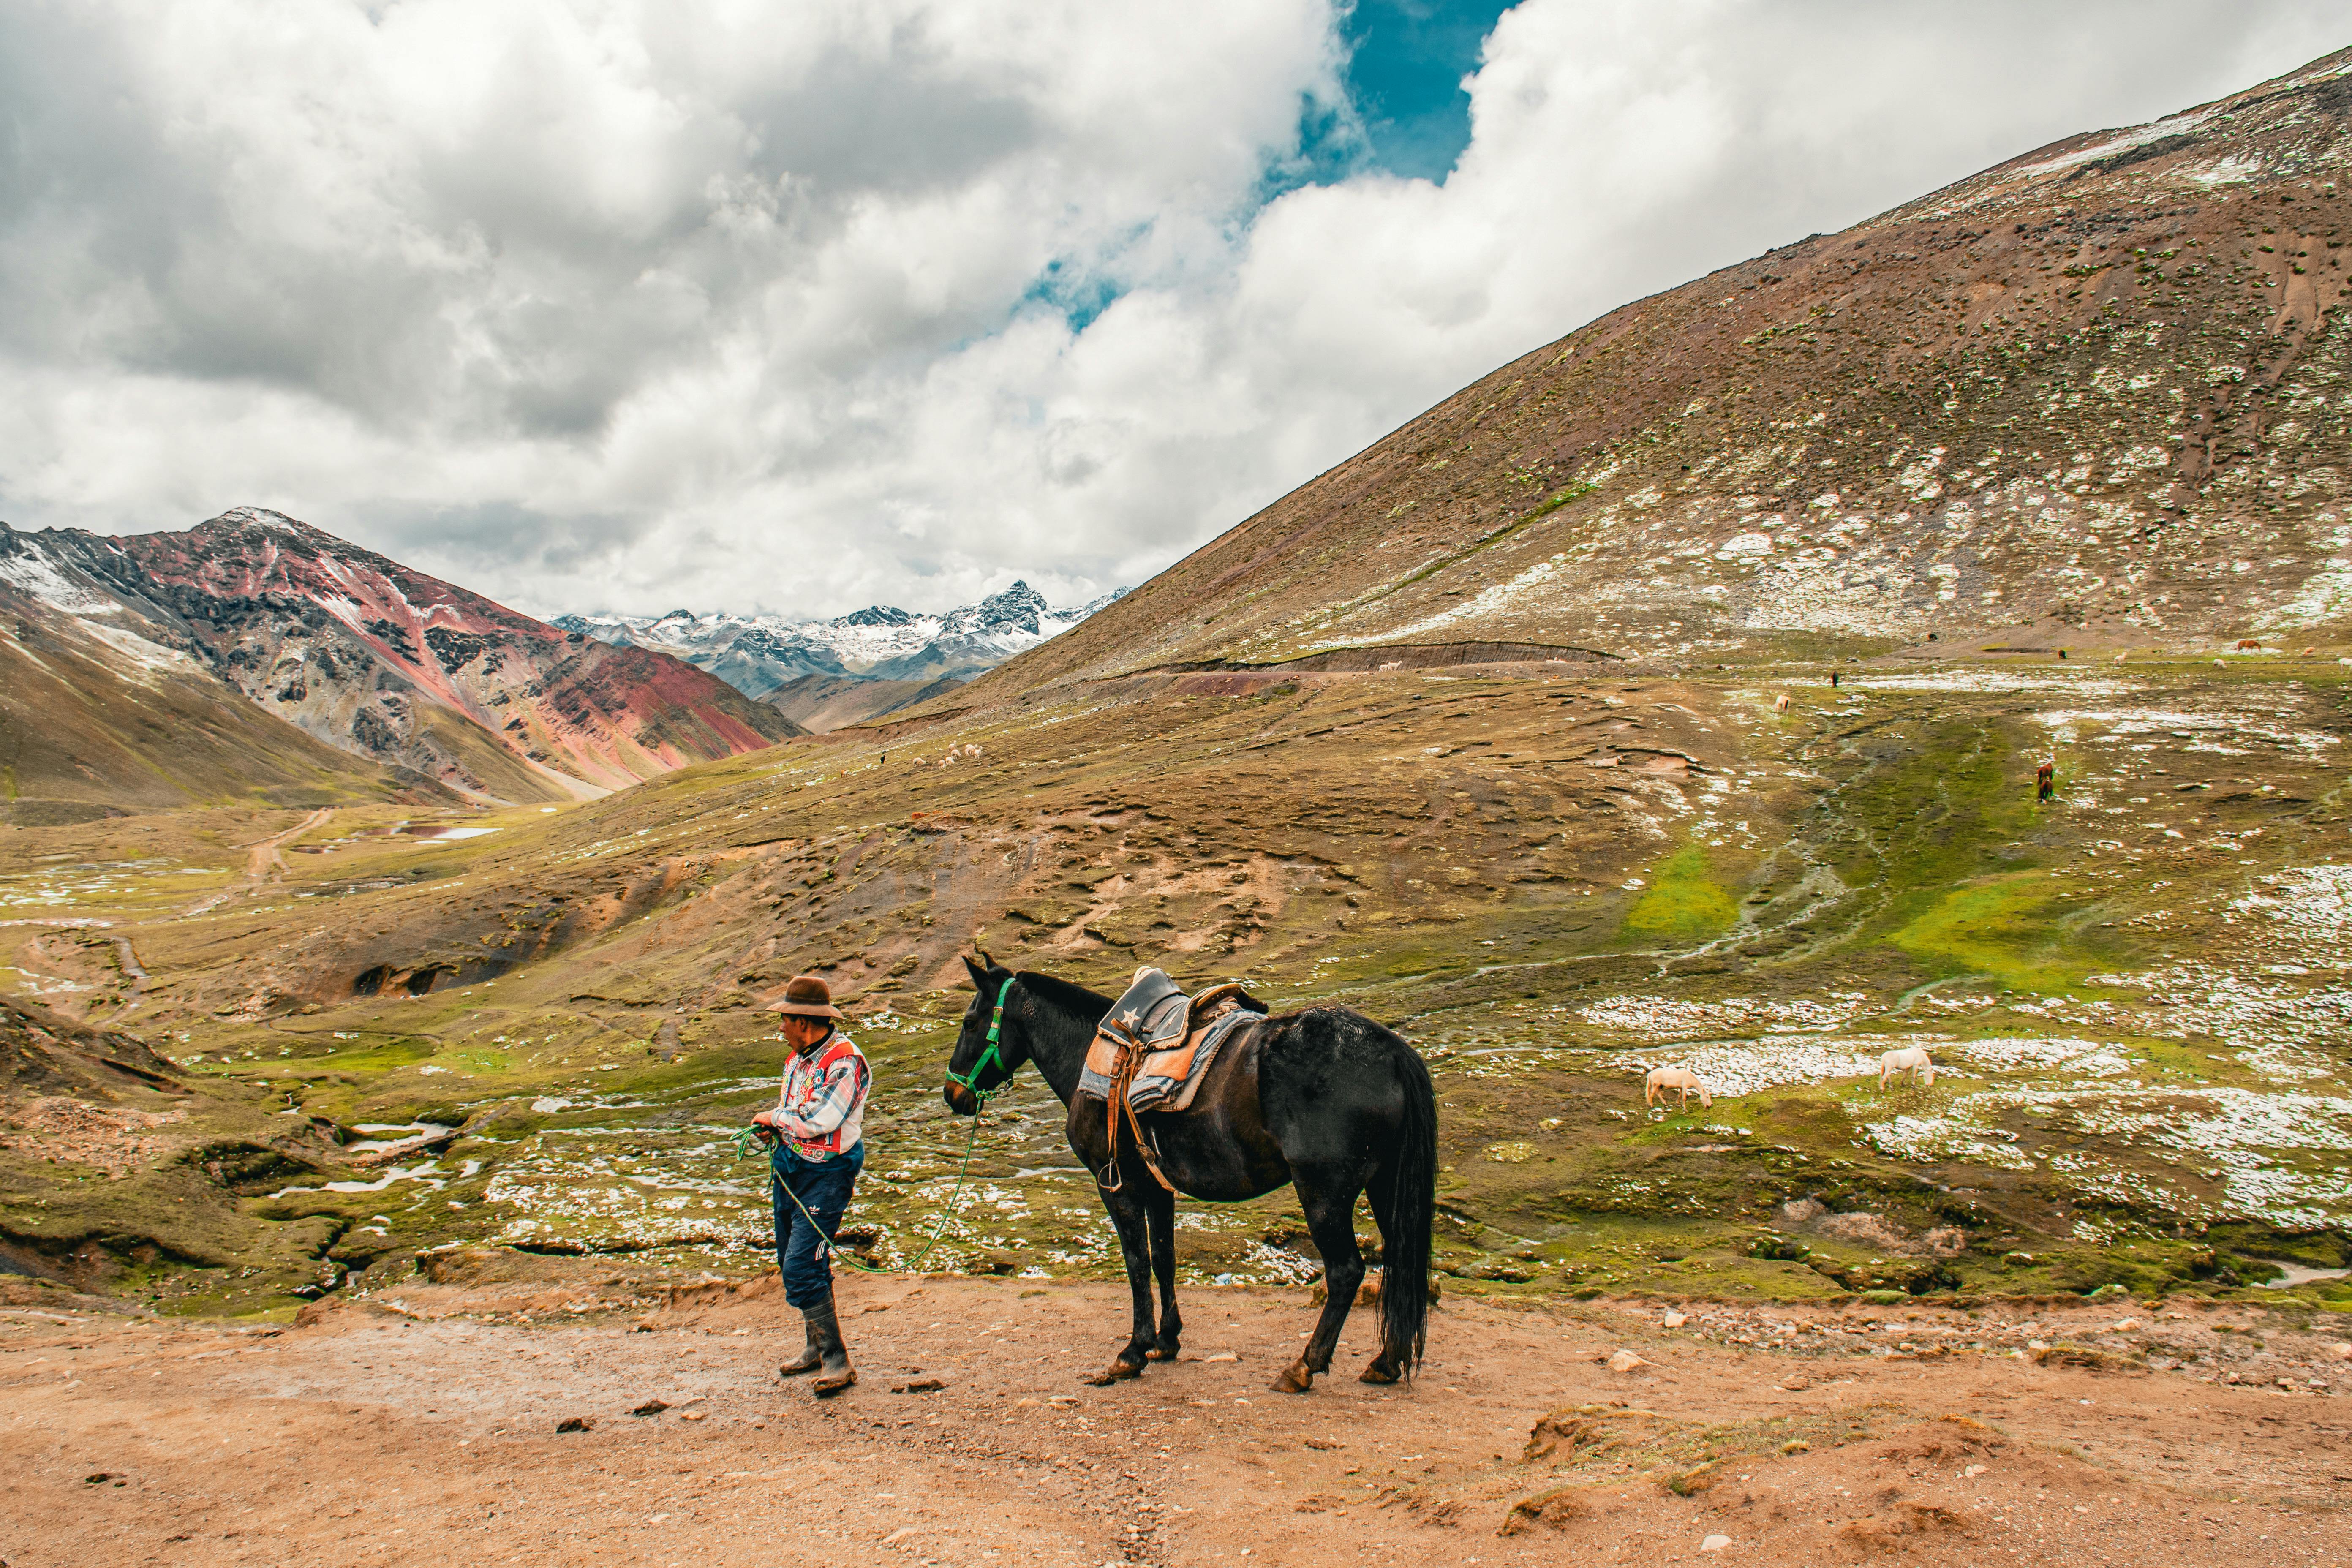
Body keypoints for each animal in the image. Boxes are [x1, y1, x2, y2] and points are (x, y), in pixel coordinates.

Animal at [939, 953, 1436, 1395]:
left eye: (970, 1022)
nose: (952, 1094)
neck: (1087, 1054)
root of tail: (1393, 1051)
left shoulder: (1114, 1182)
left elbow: (1137, 1262)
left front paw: (1132, 1353)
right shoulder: (1158, 1187)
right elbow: (1164, 1258)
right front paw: (1167, 1341)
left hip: (1323, 1193)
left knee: (1346, 1271)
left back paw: (1303, 1367)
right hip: (1384, 1184)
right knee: (1400, 1257)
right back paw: (1386, 1362)